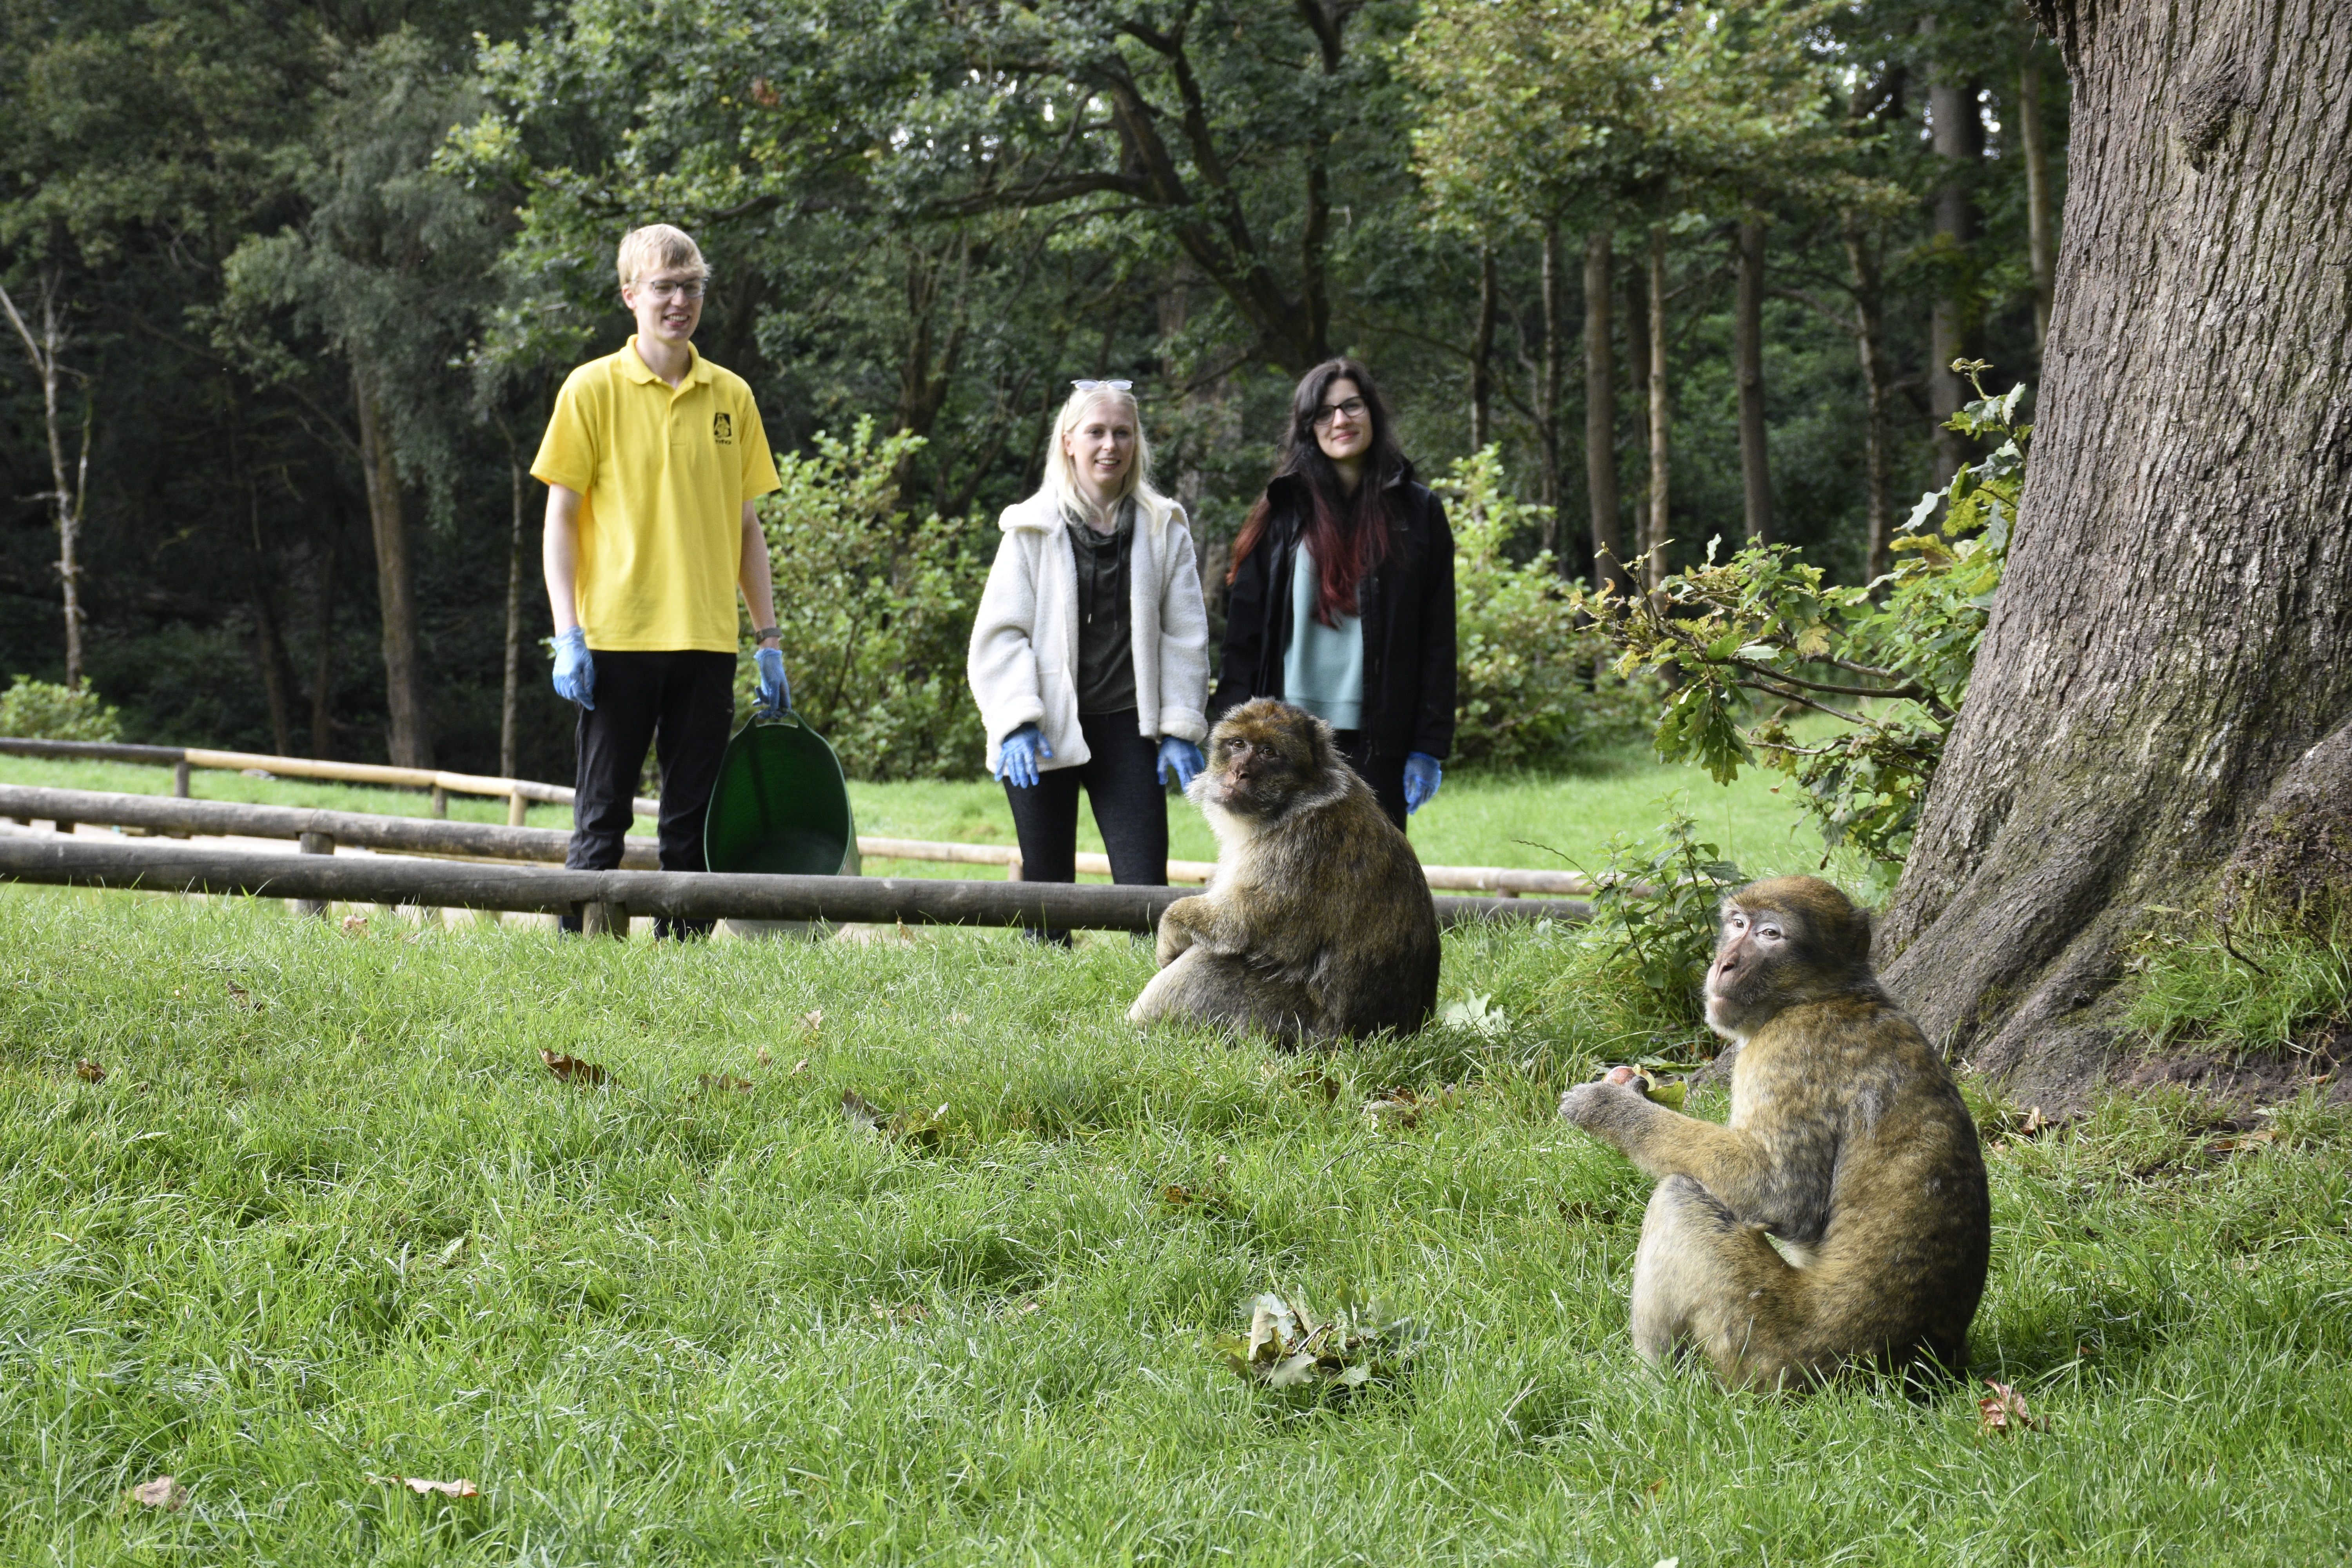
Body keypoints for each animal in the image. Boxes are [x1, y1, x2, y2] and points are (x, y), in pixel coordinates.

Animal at [1126, 699, 1440, 1043]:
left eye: (1268, 752)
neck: (1292, 803)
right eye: (1239, 744)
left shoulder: (1299, 848)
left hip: (1287, 1025)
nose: (1239, 772)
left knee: (1205, 964)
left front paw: (1169, 932)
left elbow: (1238, 922)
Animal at [1558, 875, 1990, 1393]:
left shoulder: (1786, 1051)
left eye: (1770, 935)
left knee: (1681, 1195)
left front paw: (1607, 1108)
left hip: (1769, 1352)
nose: (1724, 963)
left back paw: (1651, 1387)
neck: (1818, 996)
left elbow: (1781, 1193)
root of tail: (1915, 1366)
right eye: (1737, 924)